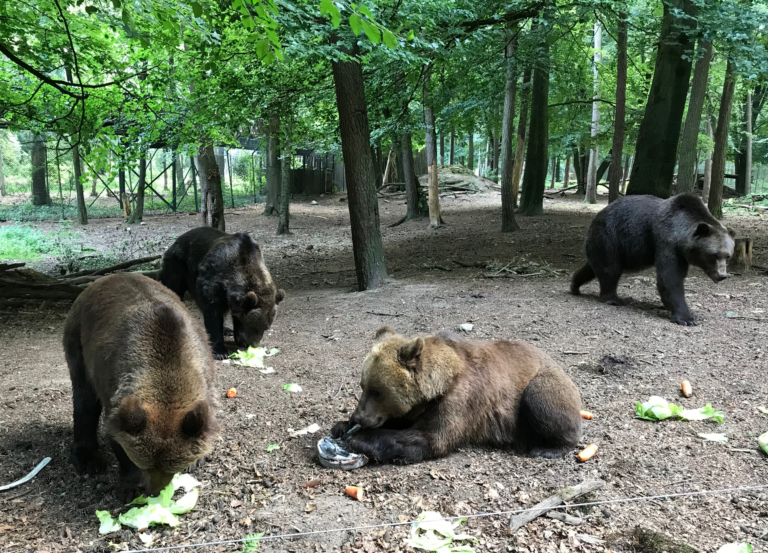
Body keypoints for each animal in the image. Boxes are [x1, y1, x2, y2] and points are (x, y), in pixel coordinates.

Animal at [63, 273, 219, 497]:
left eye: (171, 468)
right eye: (147, 466)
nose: (155, 491)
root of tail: (105, 278)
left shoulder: (206, 370)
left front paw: (196, 461)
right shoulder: (113, 386)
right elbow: (117, 435)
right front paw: (131, 487)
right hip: (78, 340)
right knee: (85, 400)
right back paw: (88, 458)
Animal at [160, 227, 285, 359]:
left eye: (266, 328)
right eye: (254, 327)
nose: (254, 345)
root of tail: (177, 241)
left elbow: (236, 315)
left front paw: (241, 339)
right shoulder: (213, 278)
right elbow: (213, 312)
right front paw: (221, 351)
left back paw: (227, 329)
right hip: (178, 265)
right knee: (173, 288)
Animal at [330, 327, 582, 464]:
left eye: (377, 391)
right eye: (363, 385)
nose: (359, 417)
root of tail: (556, 362)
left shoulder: (462, 399)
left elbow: (431, 437)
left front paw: (361, 439)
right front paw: (341, 426)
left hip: (543, 384)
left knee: (542, 401)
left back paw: (548, 449)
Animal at [571, 193, 735, 326]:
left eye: (728, 256)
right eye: (714, 255)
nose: (722, 275)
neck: (680, 235)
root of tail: (597, 215)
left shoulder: (680, 253)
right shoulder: (666, 242)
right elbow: (670, 278)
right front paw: (687, 318)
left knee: (591, 267)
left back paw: (575, 286)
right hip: (610, 237)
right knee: (610, 268)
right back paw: (612, 298)